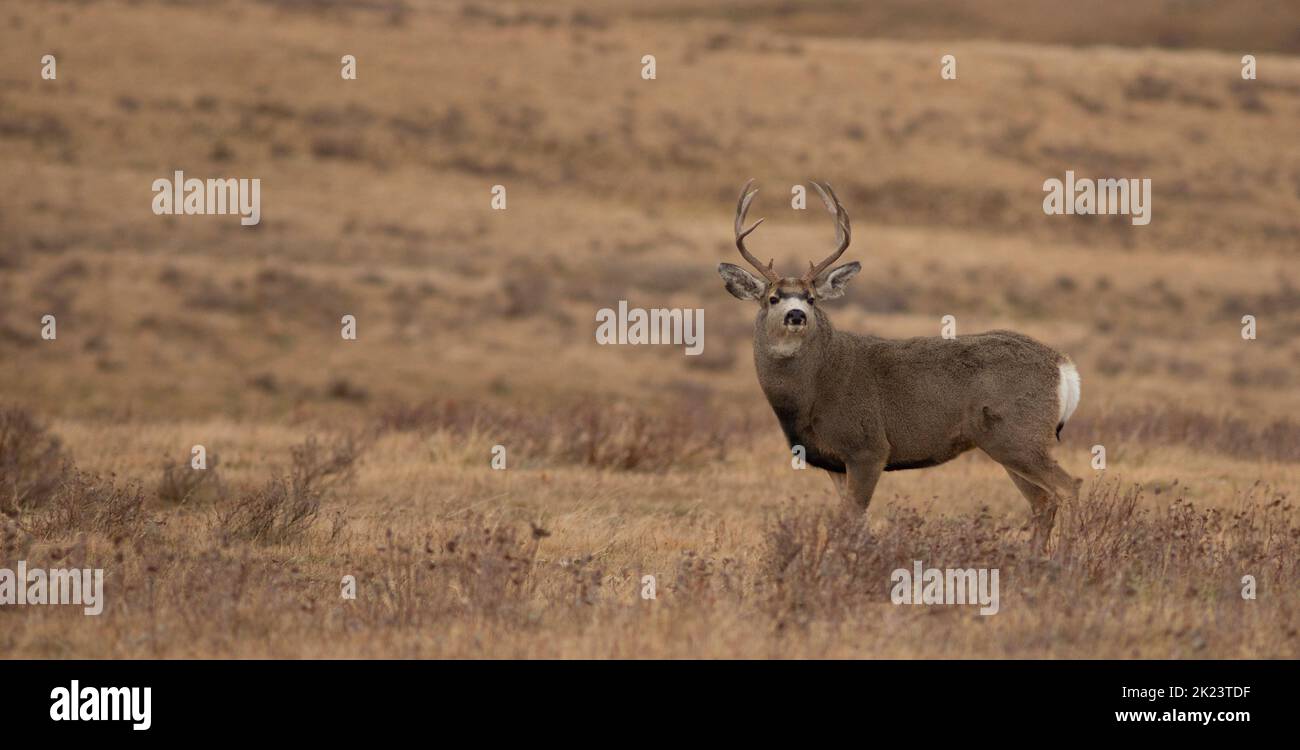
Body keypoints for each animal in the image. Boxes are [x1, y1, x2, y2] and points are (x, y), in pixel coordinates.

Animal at [717, 180, 1082, 551]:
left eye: (811, 298)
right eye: (772, 298)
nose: (796, 315)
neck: (815, 389)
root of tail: (1062, 365)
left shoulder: (868, 447)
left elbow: (851, 519)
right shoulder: (835, 462)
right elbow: (850, 520)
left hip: (1018, 435)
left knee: (1069, 487)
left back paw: (1066, 554)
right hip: (1008, 442)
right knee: (1042, 501)